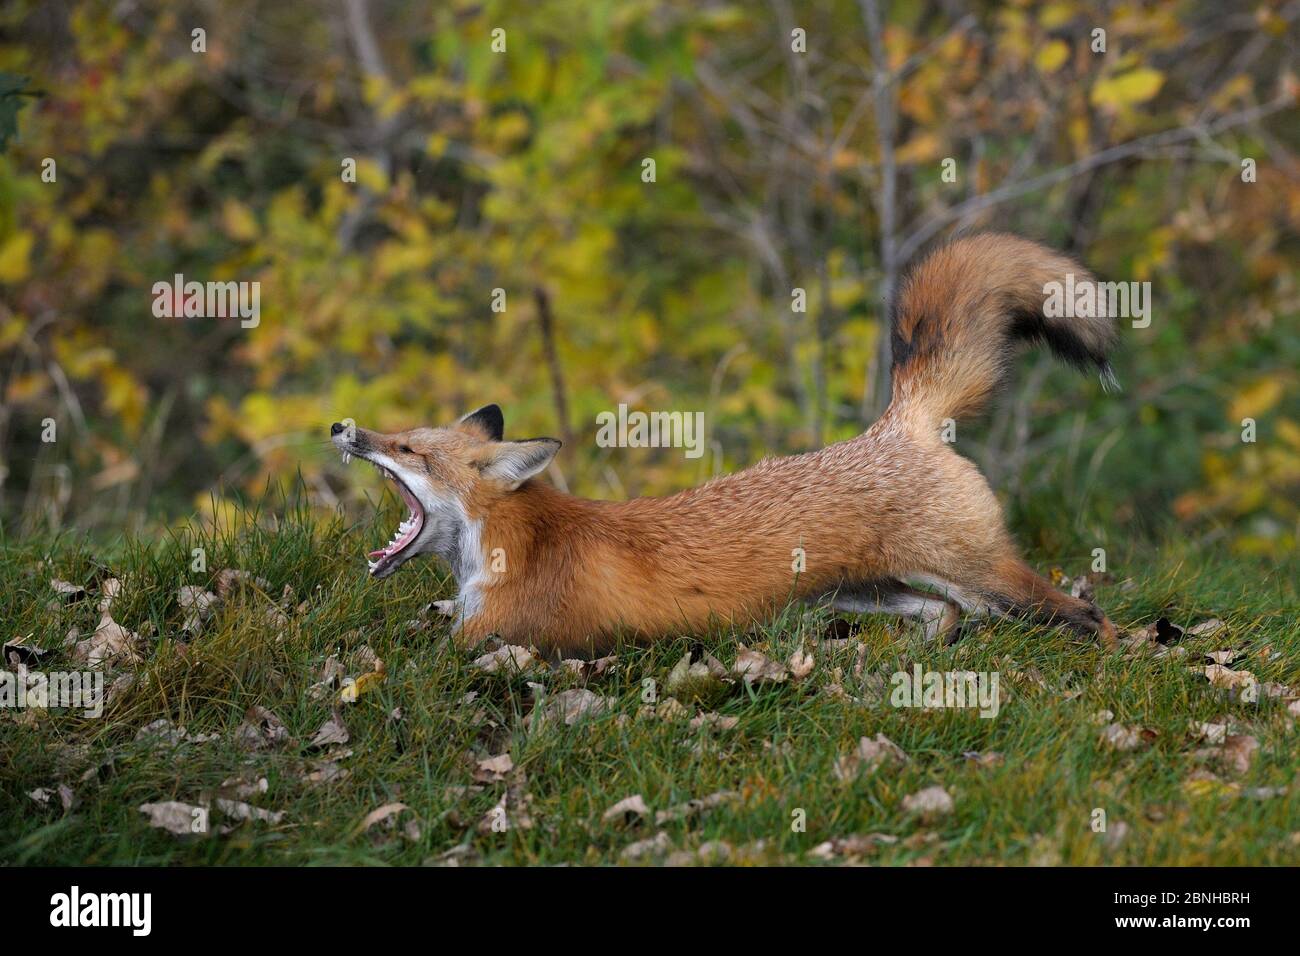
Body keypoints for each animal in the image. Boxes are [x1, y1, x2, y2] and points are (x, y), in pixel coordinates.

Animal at [331, 233, 1120, 655]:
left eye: (410, 450)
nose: (343, 427)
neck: (507, 544)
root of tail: (896, 424)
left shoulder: (487, 642)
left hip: (987, 577)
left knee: (1087, 616)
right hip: (867, 589)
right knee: (943, 616)